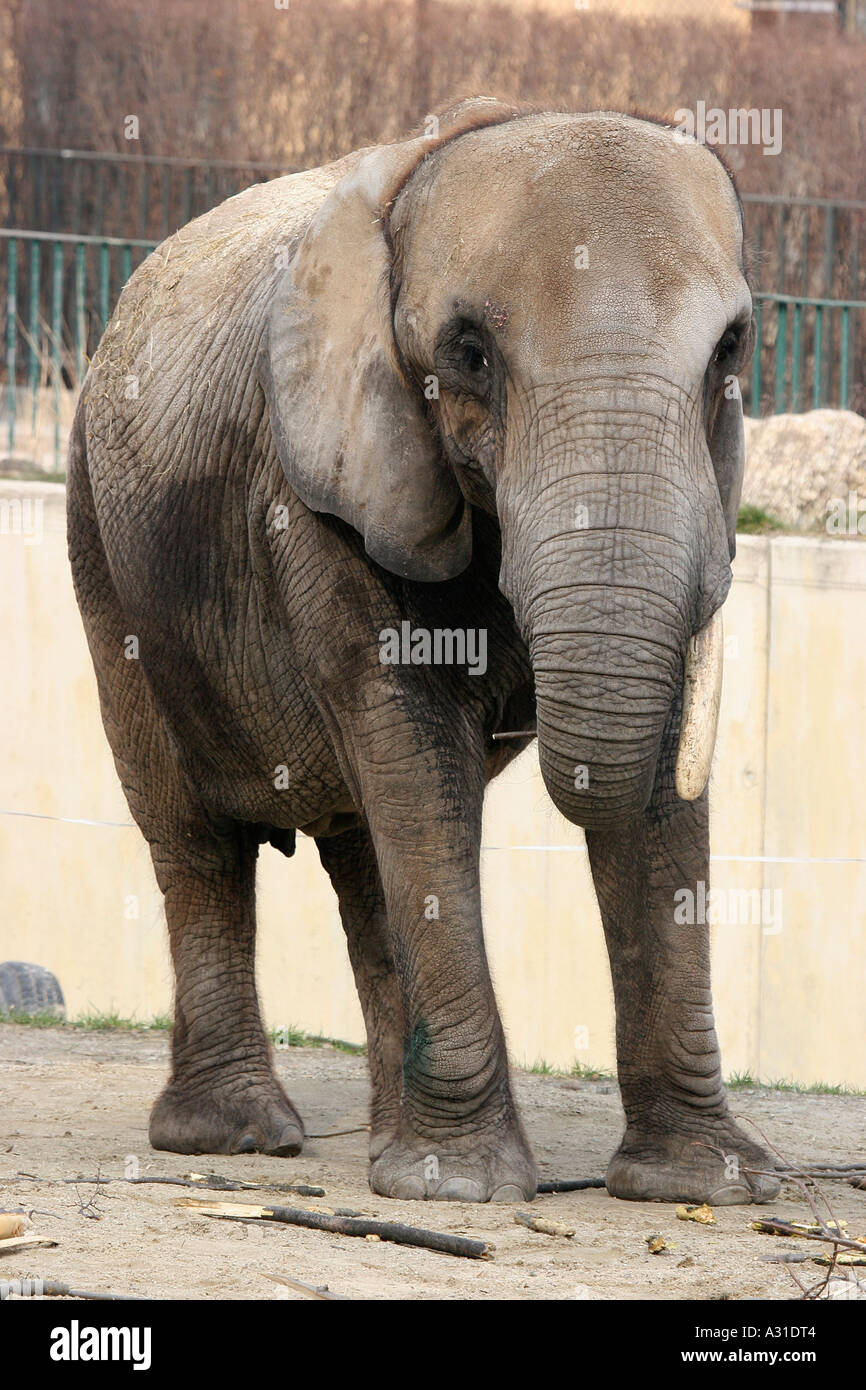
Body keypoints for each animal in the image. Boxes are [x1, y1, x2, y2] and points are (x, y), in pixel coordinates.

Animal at [67, 97, 780, 1205]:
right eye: (469, 351)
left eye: (729, 351)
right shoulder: (318, 491)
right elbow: (410, 740)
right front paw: (461, 1191)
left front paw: (706, 1187)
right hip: (103, 543)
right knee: (197, 837)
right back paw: (240, 1138)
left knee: (371, 850)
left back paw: (380, 1139)